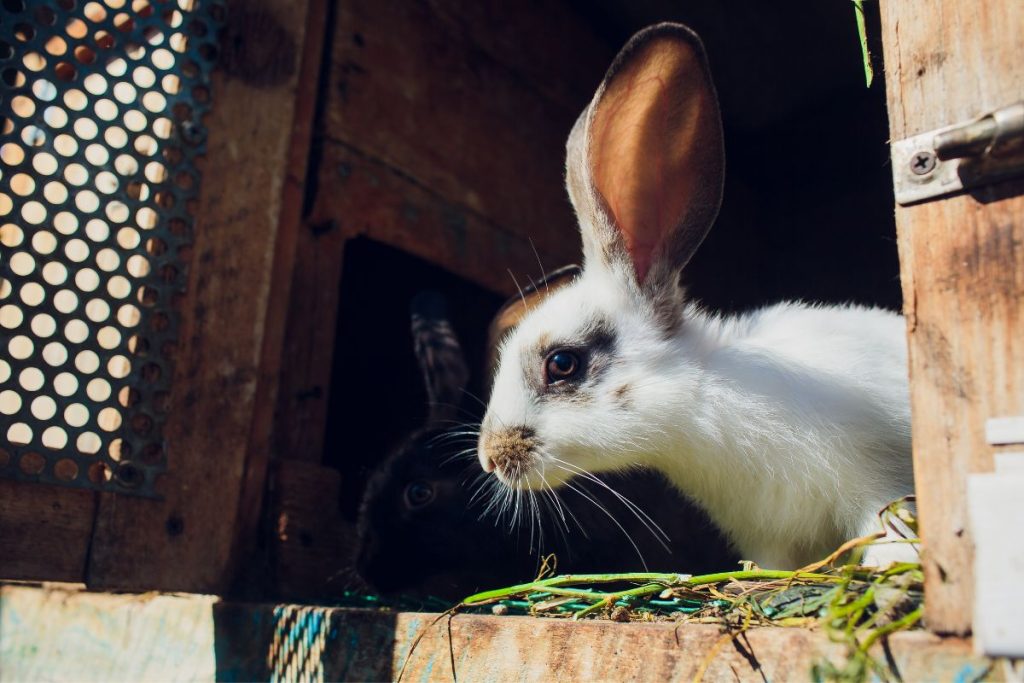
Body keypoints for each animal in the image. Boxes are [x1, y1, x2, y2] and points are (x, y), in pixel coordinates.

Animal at [476, 23, 915, 571]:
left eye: (562, 364)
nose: (491, 458)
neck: (702, 400)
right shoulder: (768, 539)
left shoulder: (875, 481)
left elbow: (887, 528)